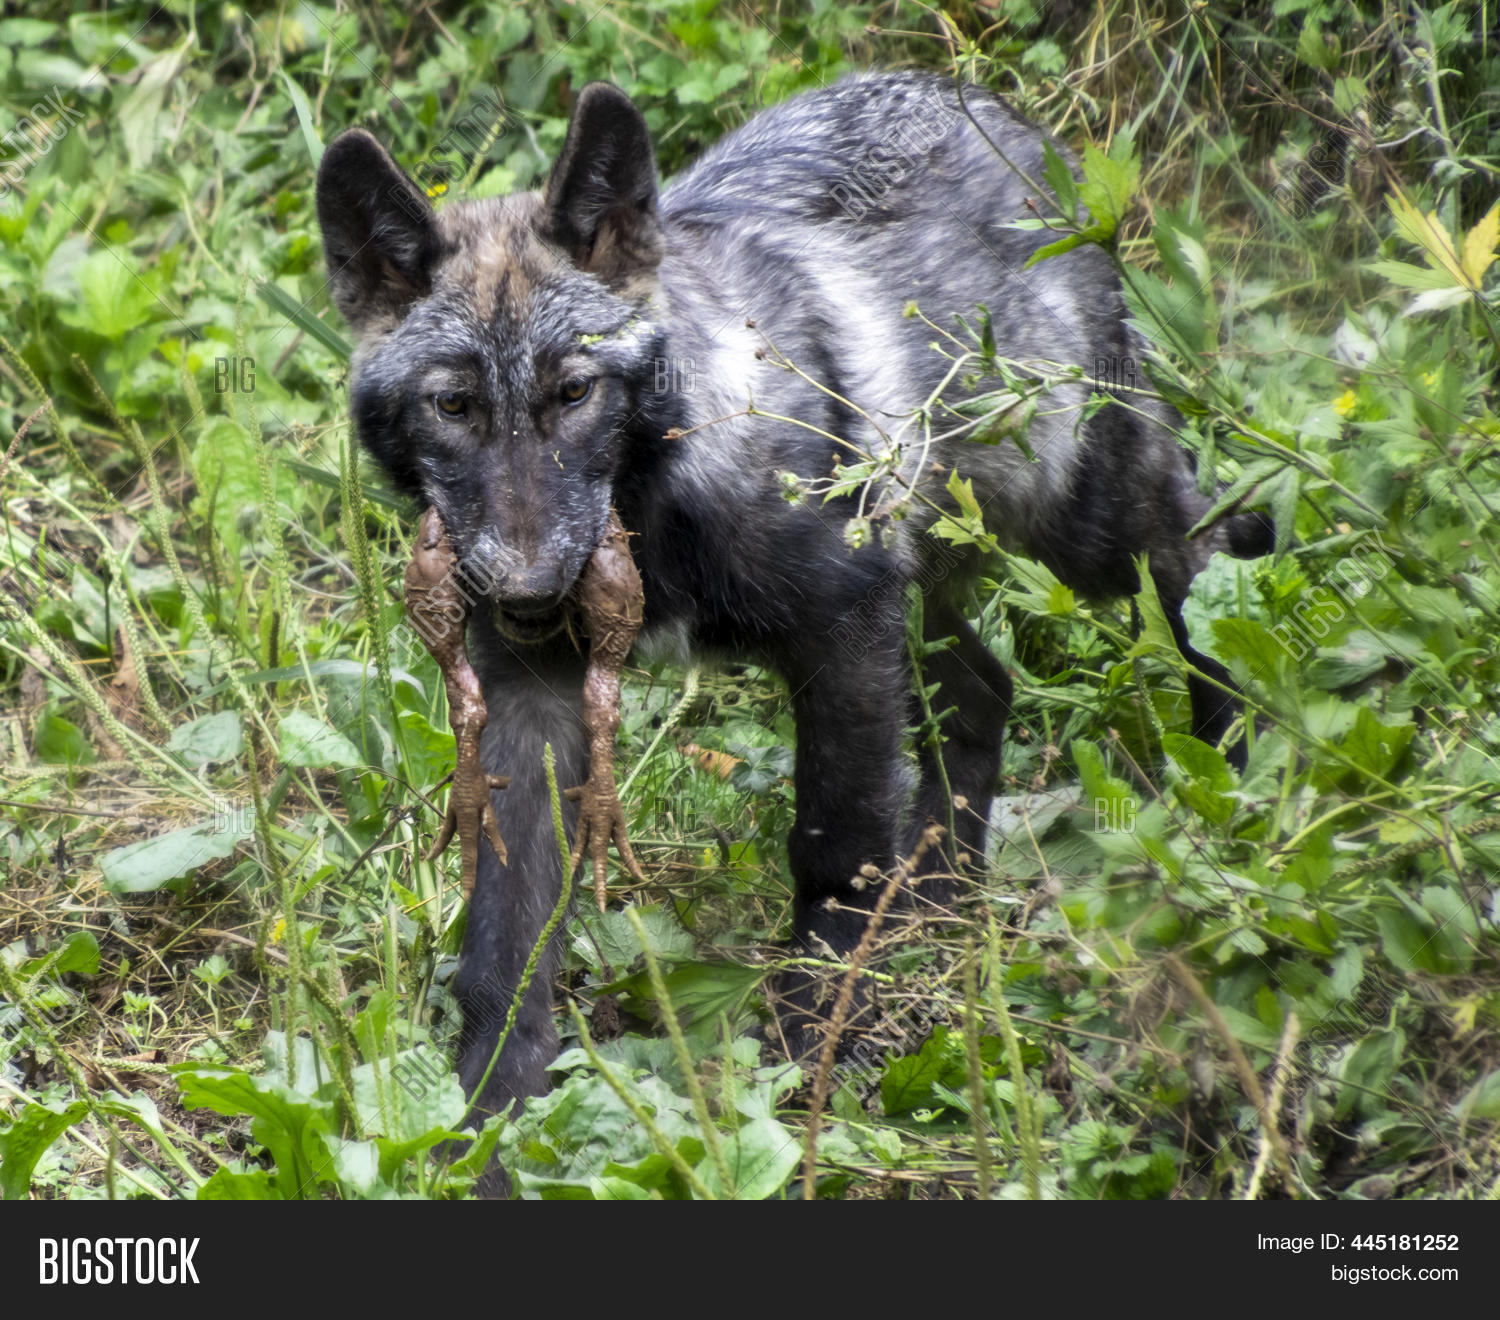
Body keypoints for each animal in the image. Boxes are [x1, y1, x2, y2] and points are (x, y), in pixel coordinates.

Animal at [316, 70, 1269, 1182]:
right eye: (454, 406)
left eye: (574, 392)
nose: (527, 589)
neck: (660, 506)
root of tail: (986, 105)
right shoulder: (530, 698)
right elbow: (505, 944)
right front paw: (486, 1133)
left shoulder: (840, 627)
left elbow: (831, 848)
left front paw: (806, 1063)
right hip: (930, 583)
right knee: (986, 693)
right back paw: (937, 908)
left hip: (1080, 533)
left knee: (1209, 564)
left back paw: (1226, 797)